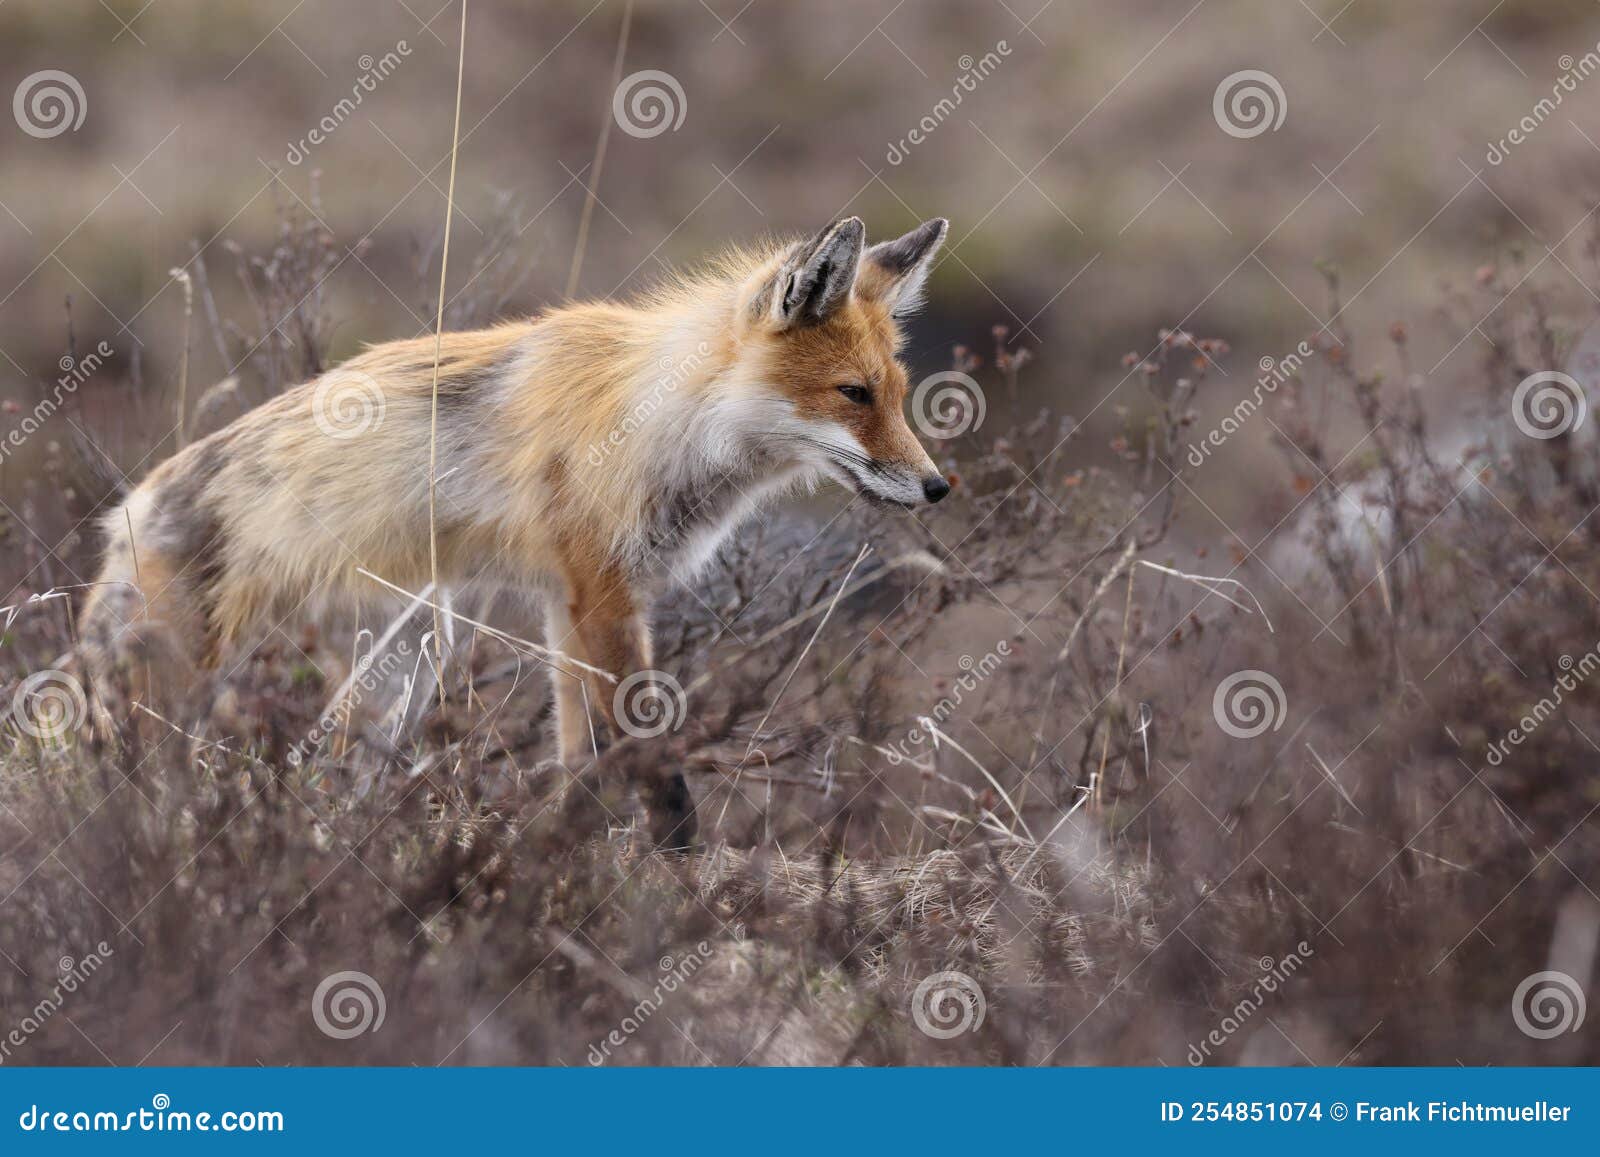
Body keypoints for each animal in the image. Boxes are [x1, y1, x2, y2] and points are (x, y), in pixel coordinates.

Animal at [78, 215, 952, 849]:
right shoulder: (602, 593)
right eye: (853, 393)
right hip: (199, 678)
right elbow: (654, 764)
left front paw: (562, 860)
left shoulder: (568, 604)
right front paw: (678, 873)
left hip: (405, 662)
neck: (660, 421)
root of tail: (124, 510)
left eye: (897, 391)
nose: (939, 486)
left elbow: (580, 761)